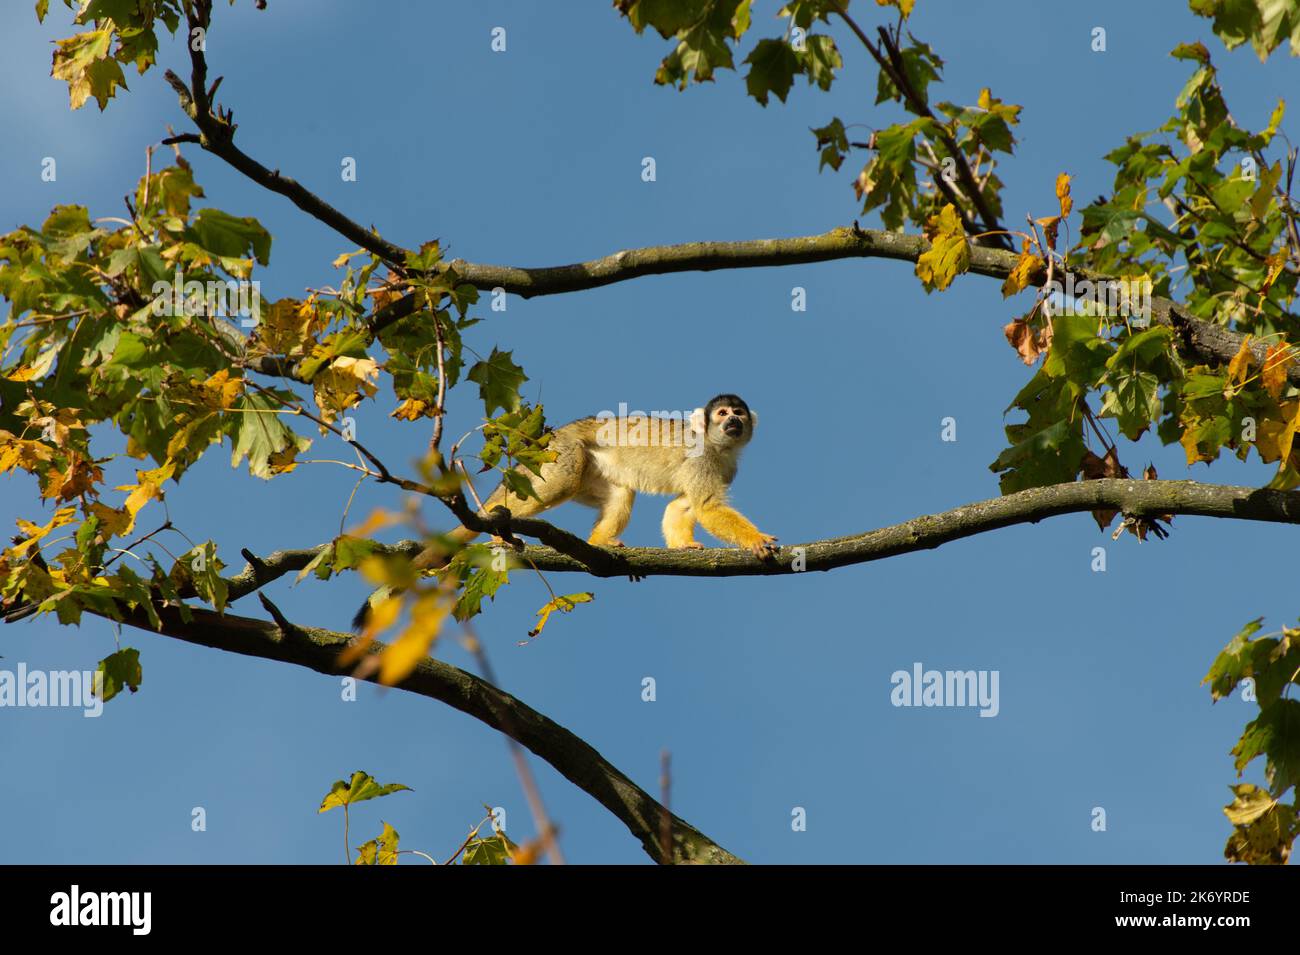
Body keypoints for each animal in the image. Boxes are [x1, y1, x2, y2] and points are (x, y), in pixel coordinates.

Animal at [352, 394, 776, 630]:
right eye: (722, 414)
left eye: (738, 413)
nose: (733, 421)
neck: (718, 447)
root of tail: (549, 437)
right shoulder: (702, 456)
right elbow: (706, 505)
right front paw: (757, 540)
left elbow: (685, 504)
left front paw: (683, 546)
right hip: (562, 455)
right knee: (559, 484)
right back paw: (497, 527)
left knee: (619, 492)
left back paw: (600, 544)